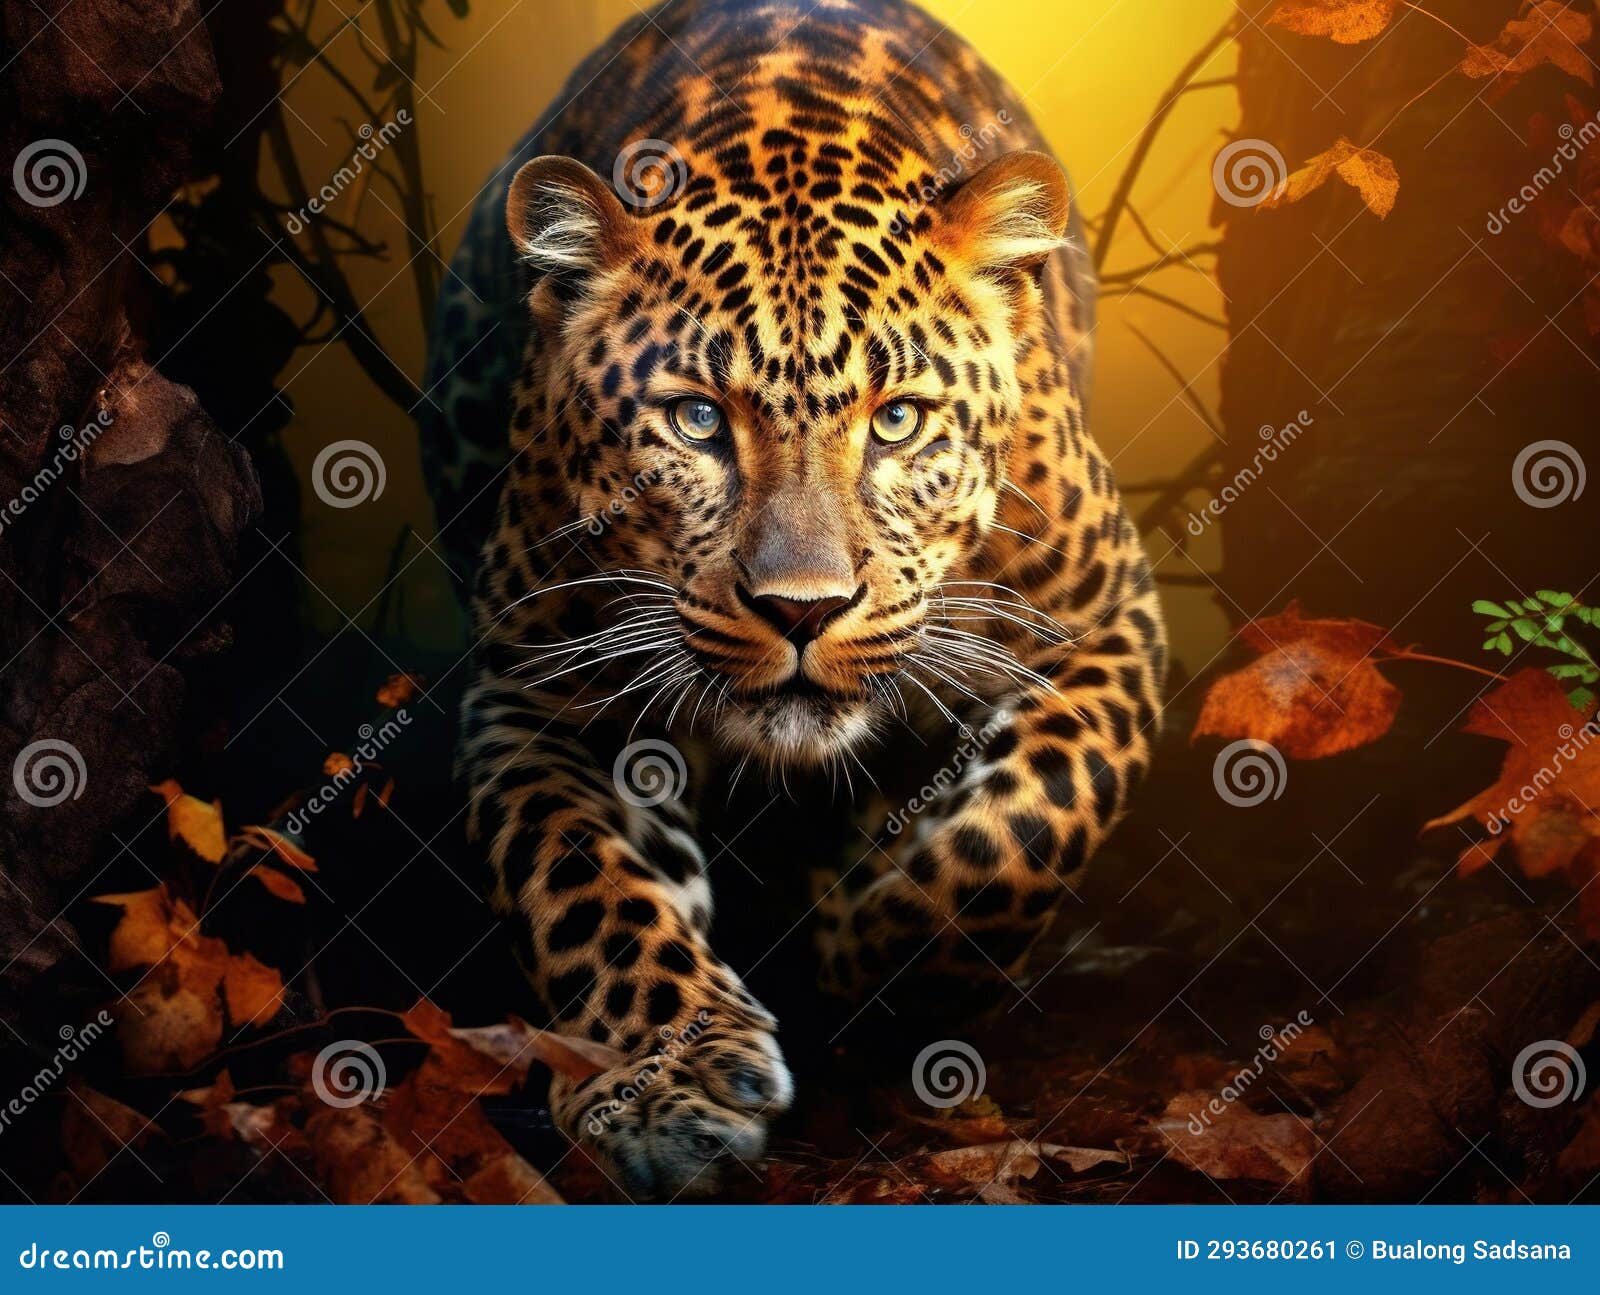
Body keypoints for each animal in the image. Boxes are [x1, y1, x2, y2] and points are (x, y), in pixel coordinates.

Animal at [421, 0, 1167, 1201]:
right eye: (694, 419)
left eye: (899, 419)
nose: (804, 610)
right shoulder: (532, 690)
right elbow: (582, 880)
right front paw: (664, 1086)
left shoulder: (1104, 623)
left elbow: (1027, 823)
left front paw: (872, 968)